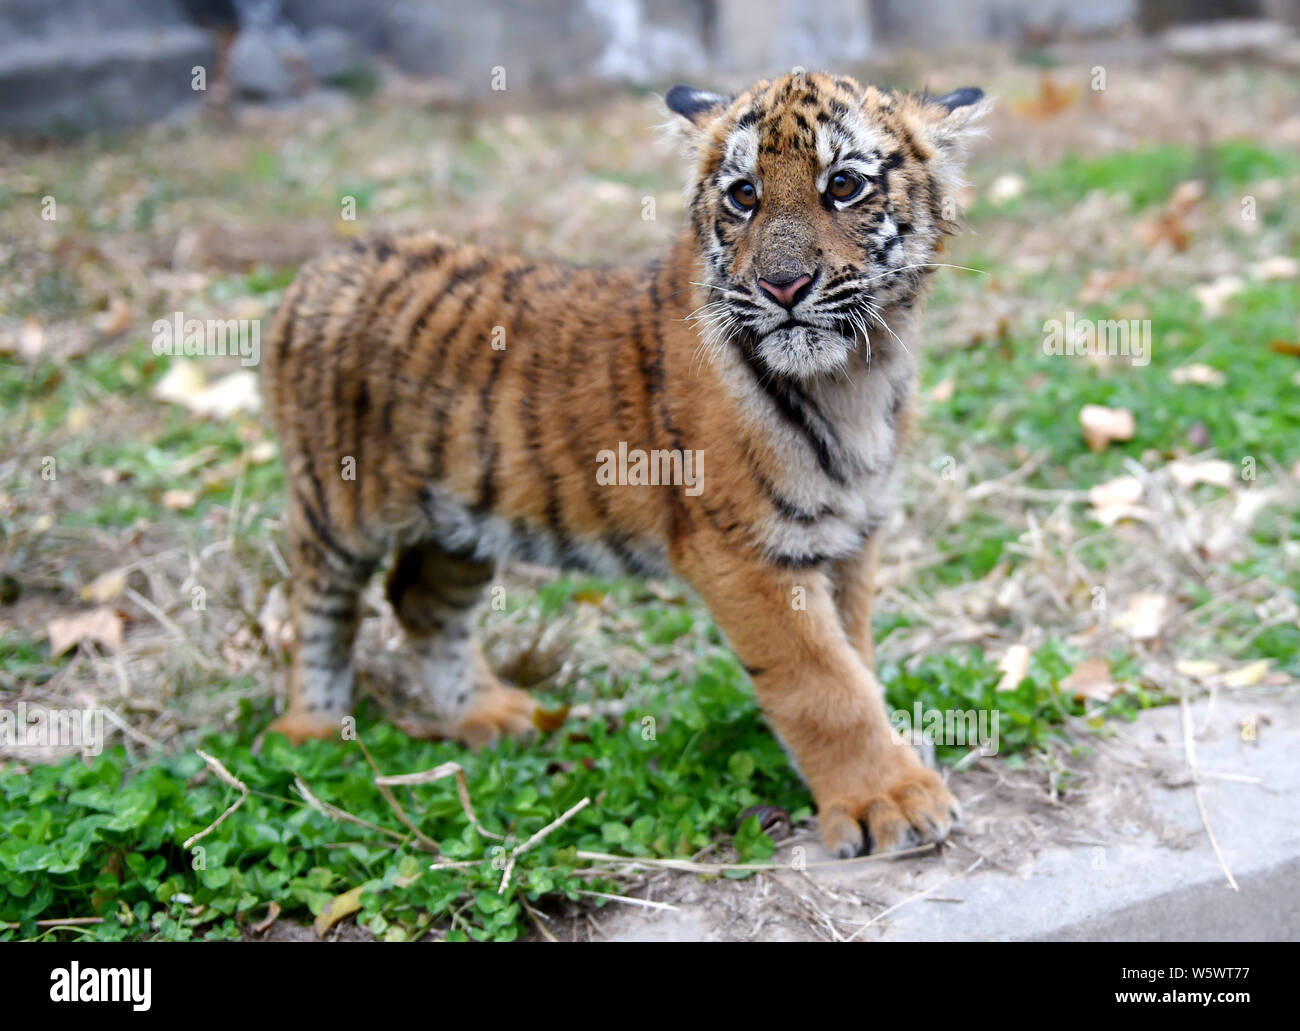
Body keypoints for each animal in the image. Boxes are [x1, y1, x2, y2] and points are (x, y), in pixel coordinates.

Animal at [262, 71, 988, 858]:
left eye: (844, 185)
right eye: (743, 194)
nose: (783, 286)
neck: (857, 376)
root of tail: (326, 263)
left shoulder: (851, 533)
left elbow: (855, 654)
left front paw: (899, 755)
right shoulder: (744, 551)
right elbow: (823, 683)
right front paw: (888, 799)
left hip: (462, 518)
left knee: (419, 598)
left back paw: (491, 714)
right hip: (336, 504)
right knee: (316, 603)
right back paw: (308, 732)